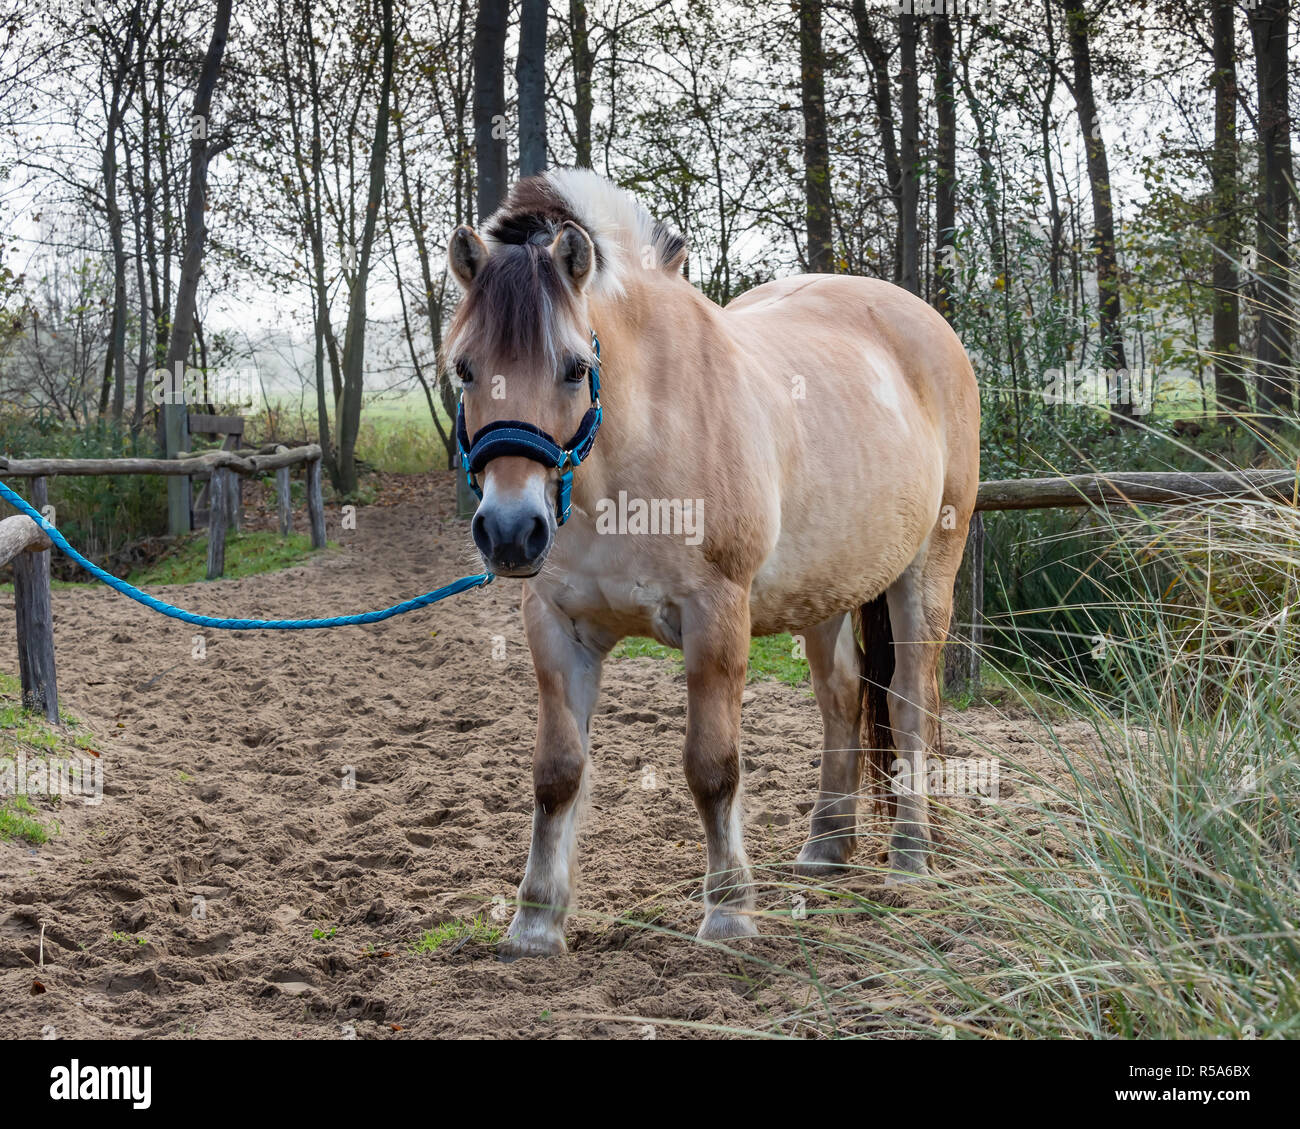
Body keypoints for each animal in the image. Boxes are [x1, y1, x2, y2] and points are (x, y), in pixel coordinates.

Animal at [444, 169, 980, 959]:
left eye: (575, 368)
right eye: (464, 368)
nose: (511, 531)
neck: (635, 445)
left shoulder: (717, 619)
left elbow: (712, 767)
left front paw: (728, 911)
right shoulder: (555, 626)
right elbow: (557, 772)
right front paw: (536, 920)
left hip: (926, 575)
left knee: (909, 703)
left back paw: (909, 857)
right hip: (824, 594)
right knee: (843, 698)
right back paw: (827, 847)